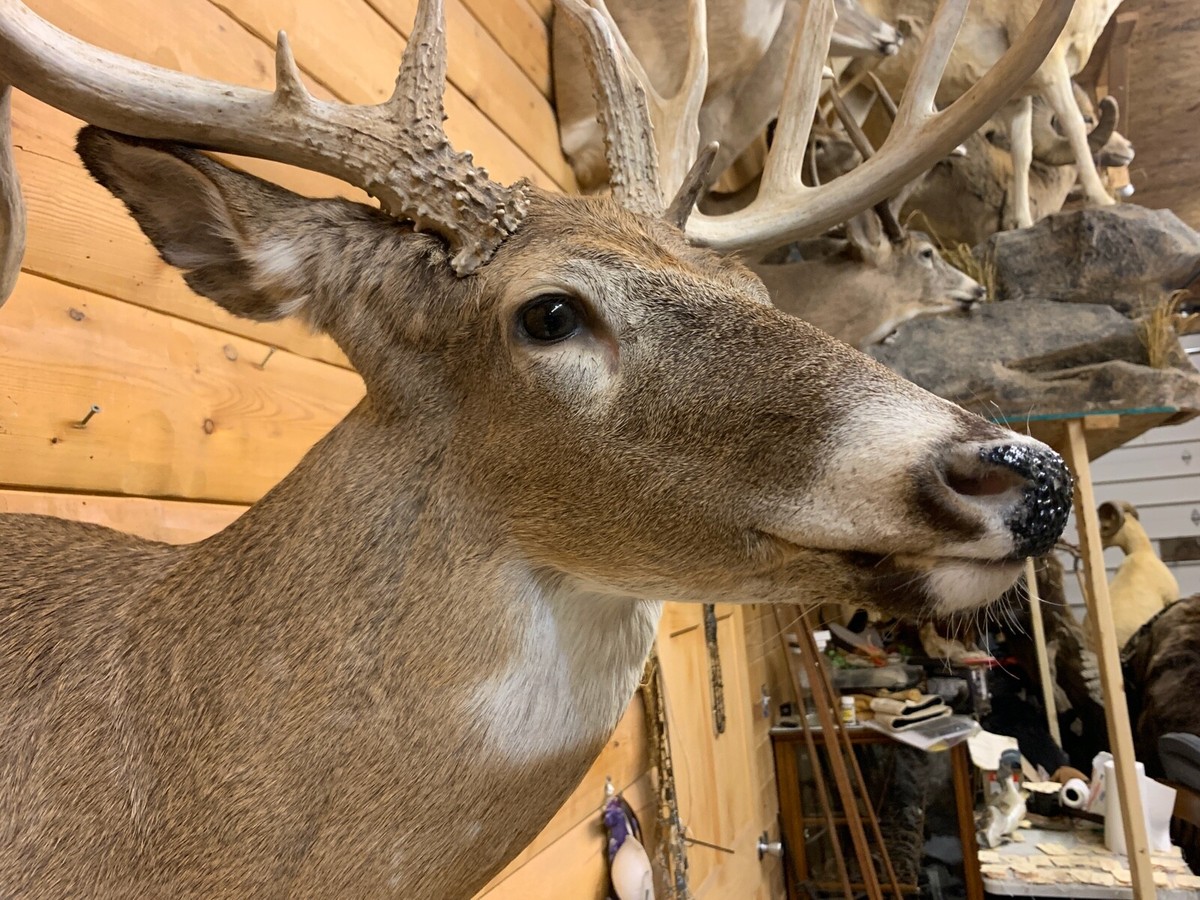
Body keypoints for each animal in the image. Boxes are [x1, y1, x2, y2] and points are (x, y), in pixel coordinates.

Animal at [864, 0, 1125, 231]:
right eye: (1091, 118)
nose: (1129, 149)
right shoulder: (1051, 69)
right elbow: (1073, 124)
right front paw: (1103, 199)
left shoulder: (1017, 98)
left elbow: (1023, 152)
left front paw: (1023, 222)